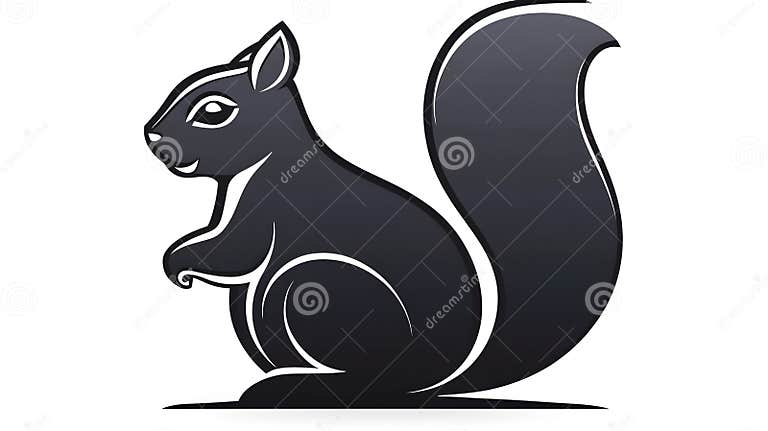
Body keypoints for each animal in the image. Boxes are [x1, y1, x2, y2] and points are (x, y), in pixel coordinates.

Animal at [144, 0, 621, 408]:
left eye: (213, 111)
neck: (266, 155)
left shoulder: (266, 207)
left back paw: (293, 386)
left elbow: (236, 252)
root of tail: (436, 378)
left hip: (312, 287)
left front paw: (177, 264)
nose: (152, 137)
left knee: (367, 380)